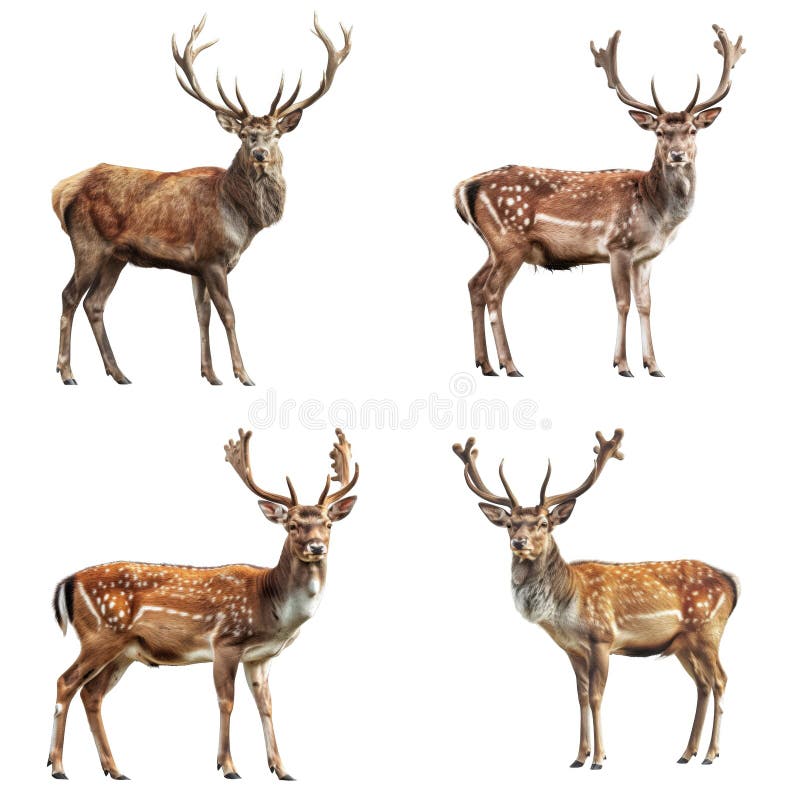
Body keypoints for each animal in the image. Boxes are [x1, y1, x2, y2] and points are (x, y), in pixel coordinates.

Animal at [47, 428, 358, 780]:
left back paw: (114, 769)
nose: (316, 547)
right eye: (291, 525)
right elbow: (227, 702)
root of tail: (68, 581)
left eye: (328, 524)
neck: (272, 607)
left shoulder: (261, 657)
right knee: (66, 682)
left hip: (123, 651)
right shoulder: (226, 641)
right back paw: (57, 766)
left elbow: (266, 705)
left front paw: (281, 769)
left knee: (92, 693)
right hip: (100, 634)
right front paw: (228, 767)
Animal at [52, 15, 351, 385]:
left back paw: (119, 373)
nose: (260, 154)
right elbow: (229, 315)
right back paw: (67, 372)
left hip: (116, 256)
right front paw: (243, 374)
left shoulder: (197, 265)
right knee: (69, 295)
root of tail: (63, 190)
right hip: (88, 243)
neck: (243, 218)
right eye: (244, 135)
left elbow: (202, 314)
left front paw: (210, 374)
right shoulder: (212, 257)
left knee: (94, 303)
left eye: (275, 135)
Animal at [452, 430, 738, 768]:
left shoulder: (602, 639)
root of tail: (732, 584)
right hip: (684, 644)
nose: (519, 542)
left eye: (544, 524)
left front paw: (599, 758)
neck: (564, 605)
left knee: (720, 680)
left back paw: (710, 753)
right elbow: (580, 697)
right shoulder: (573, 650)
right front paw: (579, 756)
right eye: (510, 524)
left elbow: (596, 697)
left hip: (708, 631)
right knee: (702, 684)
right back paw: (687, 753)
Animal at [454, 25, 745, 378]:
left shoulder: (646, 256)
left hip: (493, 245)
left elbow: (646, 304)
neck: (656, 211)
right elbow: (623, 302)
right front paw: (622, 365)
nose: (677, 154)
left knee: (474, 284)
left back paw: (484, 364)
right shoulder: (618, 245)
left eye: (692, 130)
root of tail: (464, 187)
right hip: (510, 242)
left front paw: (654, 365)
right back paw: (509, 365)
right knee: (493, 292)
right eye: (659, 132)